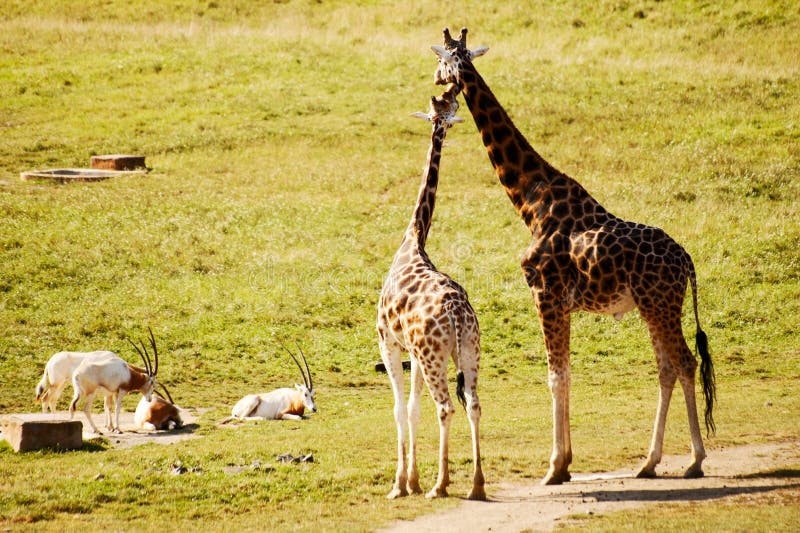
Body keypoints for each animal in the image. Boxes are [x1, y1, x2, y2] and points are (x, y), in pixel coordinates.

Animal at [377, 84, 486, 501]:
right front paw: (412, 479)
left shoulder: (389, 343)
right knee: (474, 404)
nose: (453, 105)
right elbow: (412, 408)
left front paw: (400, 485)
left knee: (446, 407)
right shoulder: (414, 353)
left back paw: (441, 485)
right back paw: (476, 485)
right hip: (467, 349)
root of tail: (456, 315)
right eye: (448, 104)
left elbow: (399, 409)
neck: (413, 240)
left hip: (434, 354)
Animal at [431, 28, 715, 485]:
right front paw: (564, 464)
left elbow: (555, 376)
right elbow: (564, 374)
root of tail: (687, 262)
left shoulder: (544, 293)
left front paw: (555, 467)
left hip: (659, 303)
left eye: (441, 61)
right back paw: (649, 462)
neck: (530, 199)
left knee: (685, 363)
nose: (441, 83)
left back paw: (695, 460)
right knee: (668, 368)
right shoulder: (560, 301)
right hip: (654, 306)